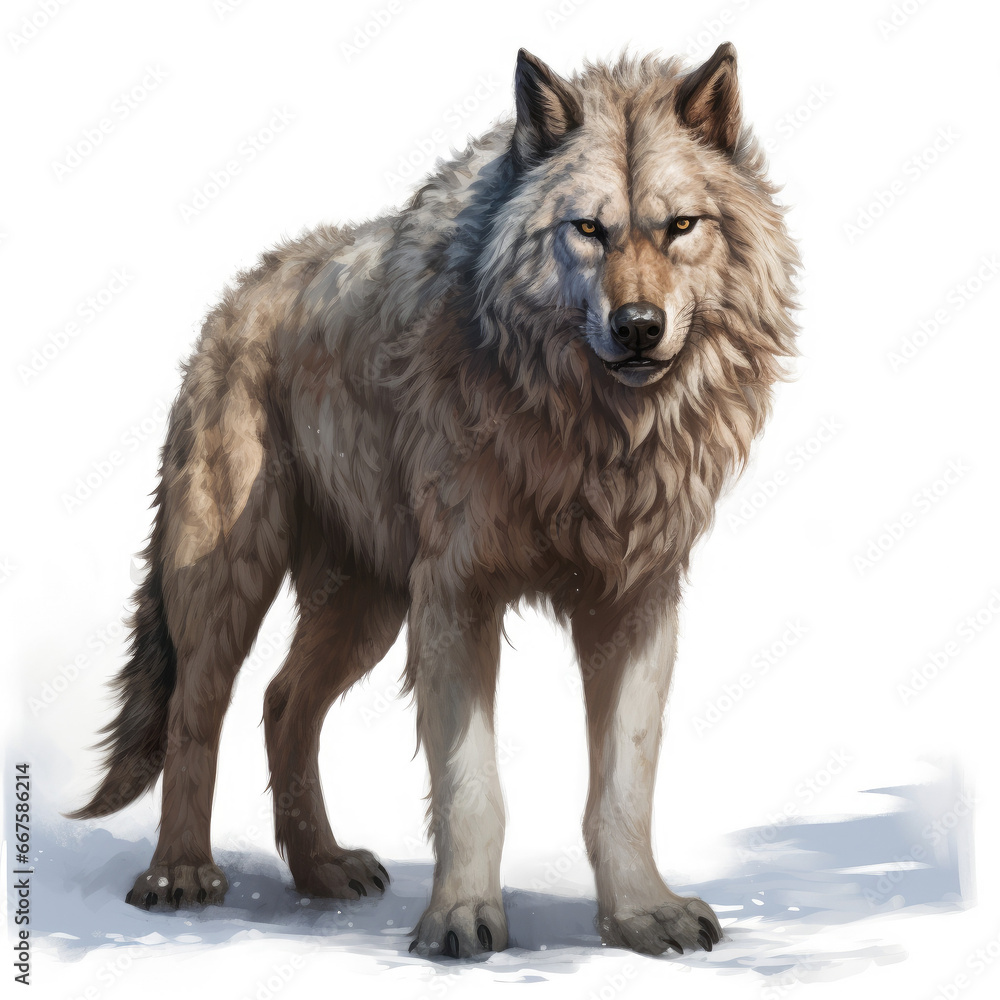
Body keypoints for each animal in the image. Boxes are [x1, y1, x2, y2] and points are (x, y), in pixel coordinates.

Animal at [69, 43, 798, 958]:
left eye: (681, 226)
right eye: (588, 230)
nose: (638, 325)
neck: (589, 432)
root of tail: (239, 295)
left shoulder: (635, 602)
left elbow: (623, 788)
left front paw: (640, 915)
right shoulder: (456, 596)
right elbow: (470, 784)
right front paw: (460, 919)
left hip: (369, 607)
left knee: (282, 703)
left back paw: (320, 870)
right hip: (233, 582)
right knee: (195, 712)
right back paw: (180, 876)